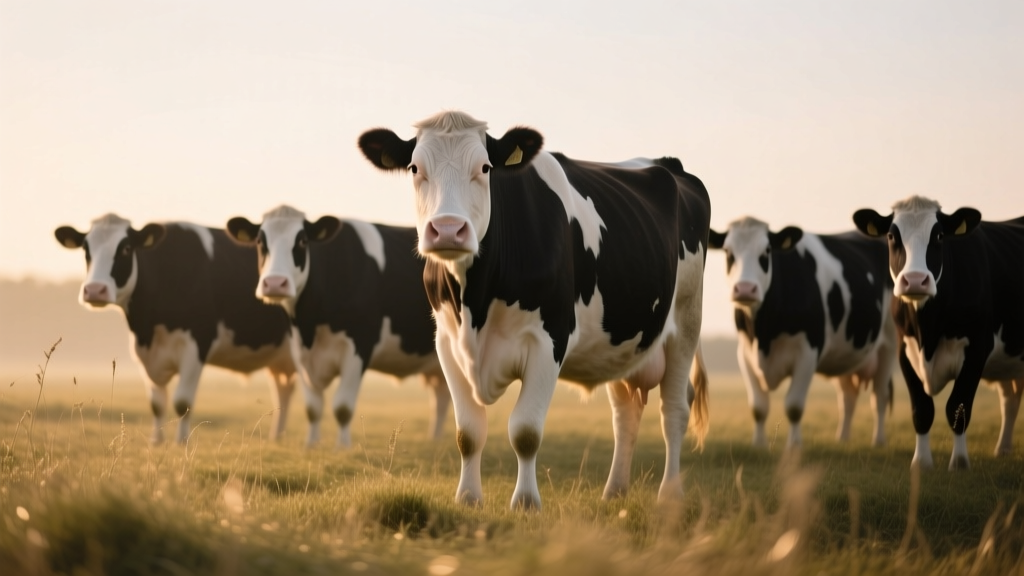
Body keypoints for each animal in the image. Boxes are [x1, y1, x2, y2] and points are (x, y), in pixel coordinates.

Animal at [54, 214, 299, 444]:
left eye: (125, 248)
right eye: (86, 249)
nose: (95, 290)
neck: (149, 328)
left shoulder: (197, 345)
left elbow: (182, 401)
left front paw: (181, 443)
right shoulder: (144, 354)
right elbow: (157, 403)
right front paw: (156, 442)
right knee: (283, 390)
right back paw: (277, 436)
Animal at [225, 205, 450, 448]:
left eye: (303, 240)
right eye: (260, 241)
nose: (275, 283)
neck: (310, 325)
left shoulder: (360, 347)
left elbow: (342, 407)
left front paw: (342, 448)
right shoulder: (299, 352)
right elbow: (313, 408)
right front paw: (311, 445)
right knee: (441, 397)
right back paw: (435, 439)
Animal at [357, 111, 711, 510]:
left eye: (485, 167)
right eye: (415, 168)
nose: (448, 229)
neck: (475, 303)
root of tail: (668, 164)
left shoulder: (549, 340)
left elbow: (525, 430)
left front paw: (526, 503)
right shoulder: (447, 343)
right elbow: (468, 432)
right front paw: (468, 498)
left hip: (686, 322)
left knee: (674, 410)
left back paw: (670, 495)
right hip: (622, 344)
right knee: (625, 414)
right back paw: (614, 492)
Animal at [708, 218, 897, 449]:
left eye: (767, 251)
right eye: (728, 252)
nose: (745, 289)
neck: (764, 336)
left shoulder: (808, 352)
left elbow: (794, 406)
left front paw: (794, 446)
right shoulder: (745, 353)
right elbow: (758, 407)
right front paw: (759, 445)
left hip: (889, 343)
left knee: (880, 395)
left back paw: (878, 441)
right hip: (846, 354)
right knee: (847, 397)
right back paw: (842, 439)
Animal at [854, 196, 1024, 469]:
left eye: (940, 235)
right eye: (891, 236)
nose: (914, 280)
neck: (928, 333)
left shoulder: (978, 347)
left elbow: (958, 406)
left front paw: (960, 463)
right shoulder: (905, 350)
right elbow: (922, 410)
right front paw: (921, 462)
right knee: (1009, 398)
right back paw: (1003, 449)